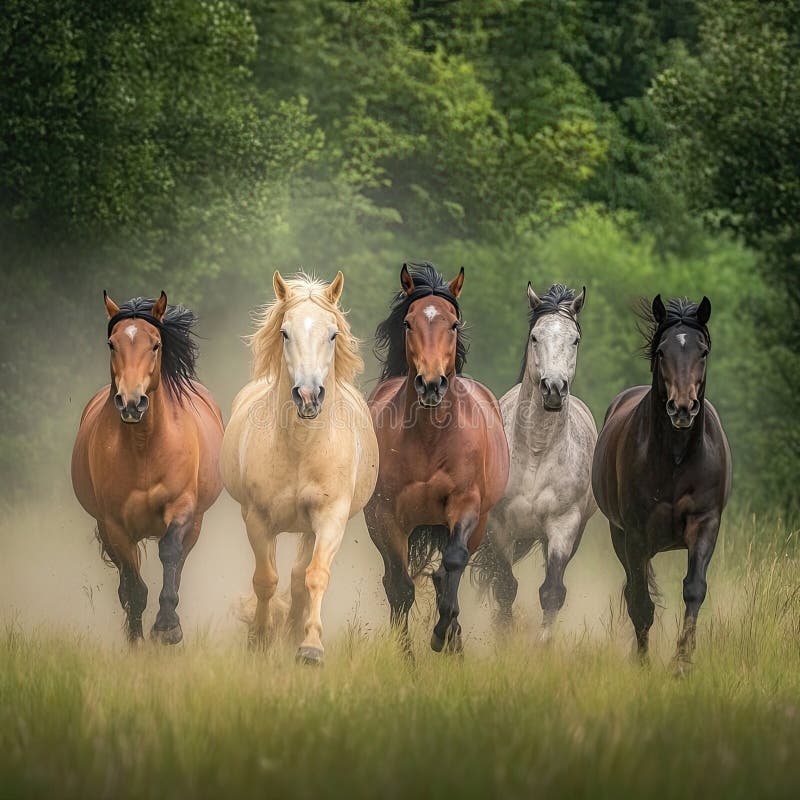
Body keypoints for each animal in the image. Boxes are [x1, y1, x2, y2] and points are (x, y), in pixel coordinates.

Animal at [71, 291, 224, 644]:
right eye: (112, 344)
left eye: (155, 344)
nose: (131, 402)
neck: (144, 446)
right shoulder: (114, 524)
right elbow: (133, 586)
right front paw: (137, 641)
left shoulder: (182, 508)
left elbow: (169, 554)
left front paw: (167, 626)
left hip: (196, 522)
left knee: (178, 565)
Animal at [220, 271, 378, 665]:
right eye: (284, 332)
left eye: (333, 334)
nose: (308, 396)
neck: (301, 447)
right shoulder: (258, 518)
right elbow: (265, 580)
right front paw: (259, 639)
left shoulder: (331, 517)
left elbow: (314, 576)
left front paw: (310, 646)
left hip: (308, 527)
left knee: (298, 577)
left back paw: (293, 630)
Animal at [364, 262, 510, 654]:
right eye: (408, 322)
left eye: (454, 324)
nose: (431, 384)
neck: (430, 438)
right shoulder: (386, 515)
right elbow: (400, 588)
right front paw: (408, 658)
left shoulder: (466, 503)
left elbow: (452, 566)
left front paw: (442, 634)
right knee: (393, 582)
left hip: (474, 524)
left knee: (450, 568)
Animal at [472, 283, 597, 641]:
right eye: (535, 337)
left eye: (575, 339)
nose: (553, 388)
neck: (537, 452)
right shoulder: (500, 527)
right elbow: (505, 587)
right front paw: (503, 639)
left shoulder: (563, 526)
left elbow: (552, 591)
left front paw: (542, 644)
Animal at [591, 295, 731, 672]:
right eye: (662, 352)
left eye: (702, 351)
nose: (682, 408)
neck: (676, 458)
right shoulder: (636, 534)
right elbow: (641, 602)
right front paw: (643, 664)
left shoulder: (705, 523)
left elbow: (694, 588)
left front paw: (682, 662)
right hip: (620, 537)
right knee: (634, 593)